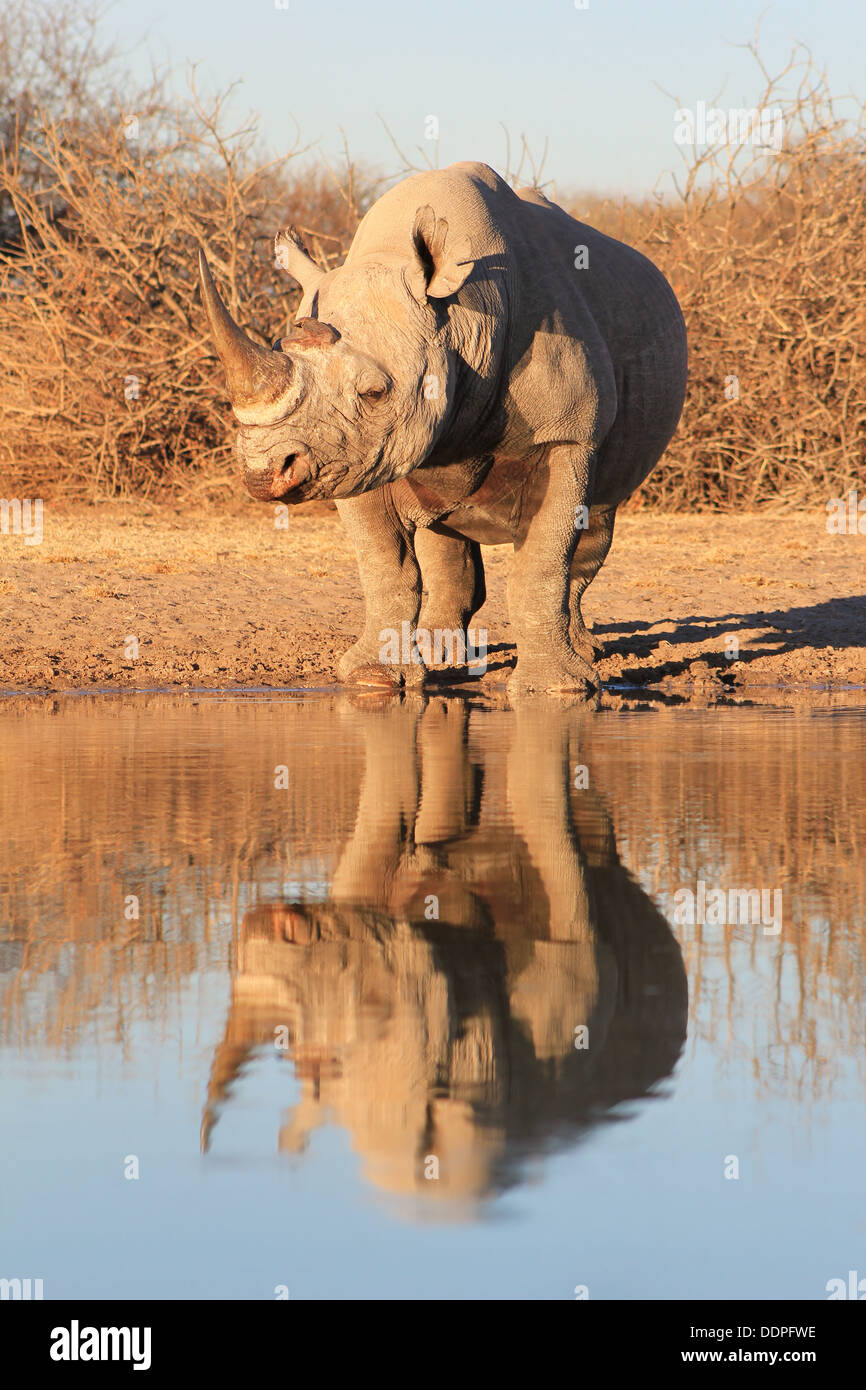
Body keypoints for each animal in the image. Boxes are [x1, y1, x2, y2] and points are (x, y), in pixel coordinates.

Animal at [198, 161, 687, 693]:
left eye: (375, 392)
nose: (264, 472)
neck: (463, 317)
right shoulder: (356, 452)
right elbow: (385, 566)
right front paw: (373, 679)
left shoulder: (567, 435)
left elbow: (543, 564)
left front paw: (556, 689)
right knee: (444, 531)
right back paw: (442, 654)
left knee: (594, 526)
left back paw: (586, 654)